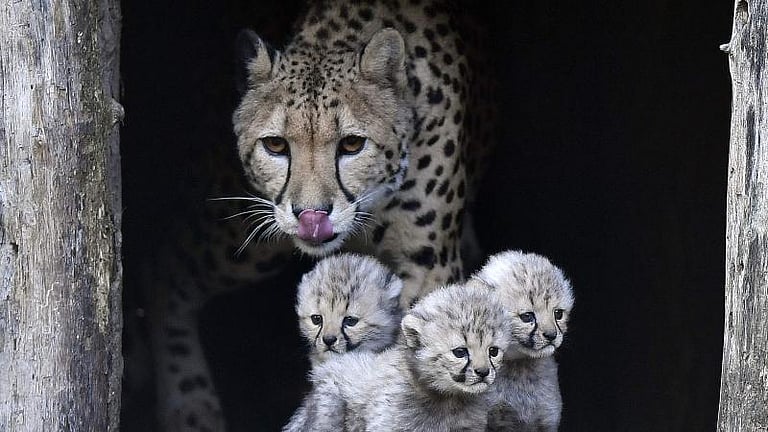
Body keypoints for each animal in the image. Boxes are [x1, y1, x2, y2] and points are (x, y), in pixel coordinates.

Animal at [136, 0, 496, 430]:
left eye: (352, 144)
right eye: (275, 145)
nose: (311, 216)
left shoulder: (426, 264)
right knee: (164, 265)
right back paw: (188, 401)